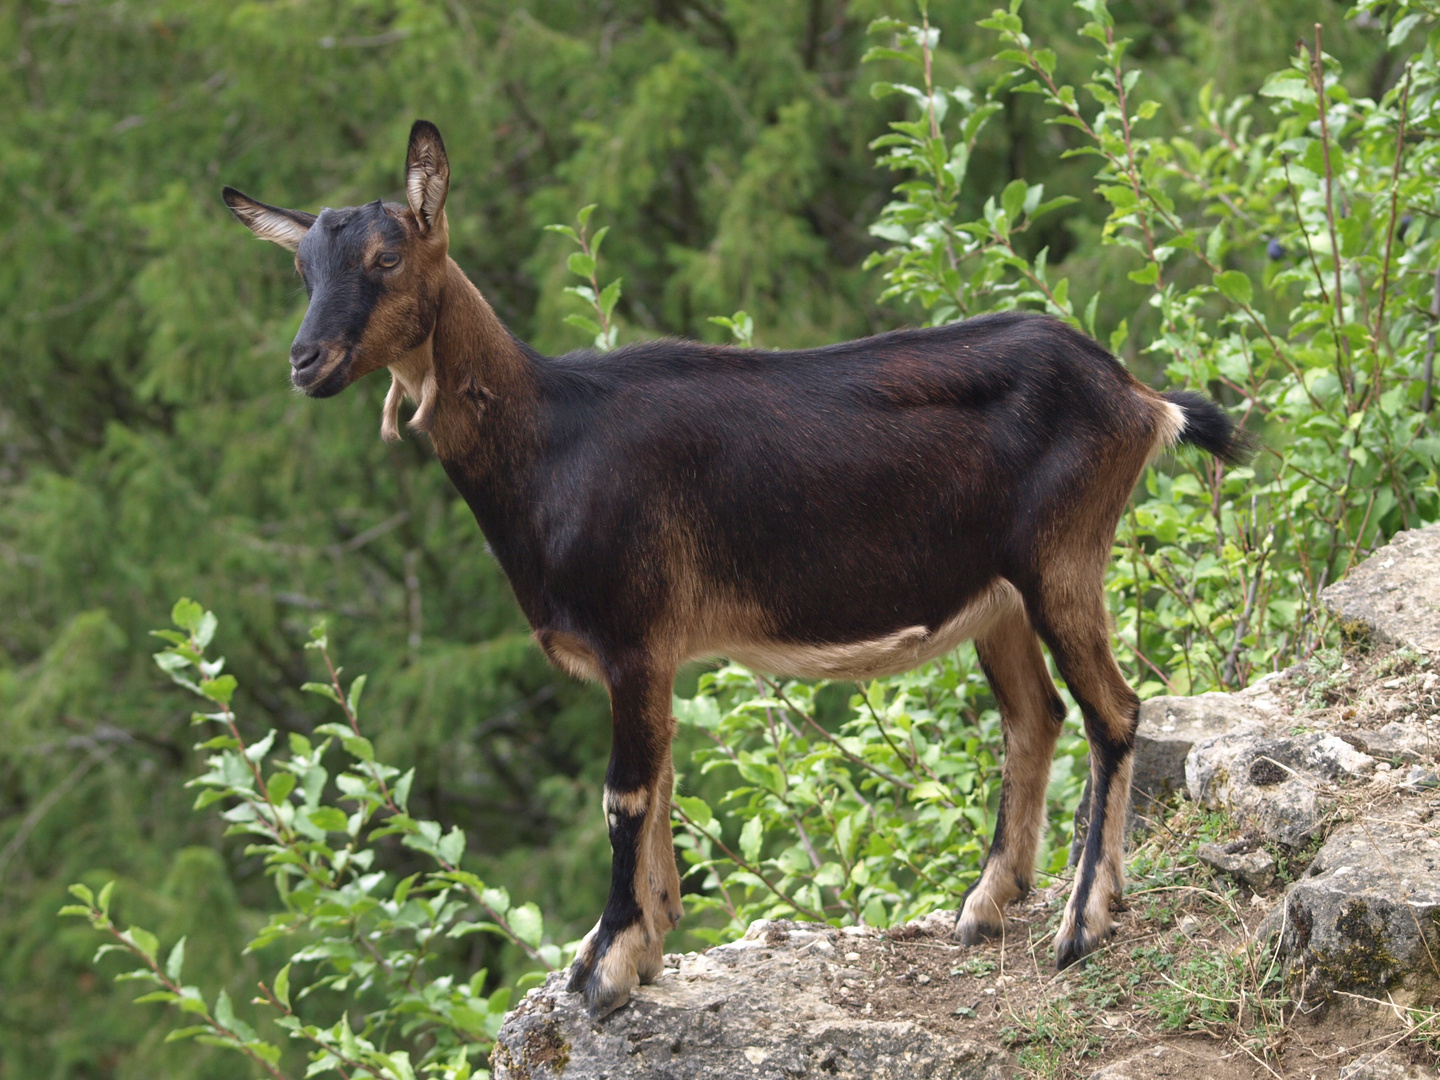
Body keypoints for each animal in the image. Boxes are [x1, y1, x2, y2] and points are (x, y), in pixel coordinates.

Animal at [224, 120, 1248, 1019]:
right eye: (300, 269)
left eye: (386, 260)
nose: (307, 360)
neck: (554, 440)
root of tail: (1141, 398)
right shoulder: (651, 651)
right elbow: (664, 781)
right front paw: (633, 945)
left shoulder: (634, 631)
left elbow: (626, 794)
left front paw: (609, 969)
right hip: (994, 598)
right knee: (1032, 717)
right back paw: (985, 906)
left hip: (1061, 558)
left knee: (1114, 712)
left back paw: (1081, 923)